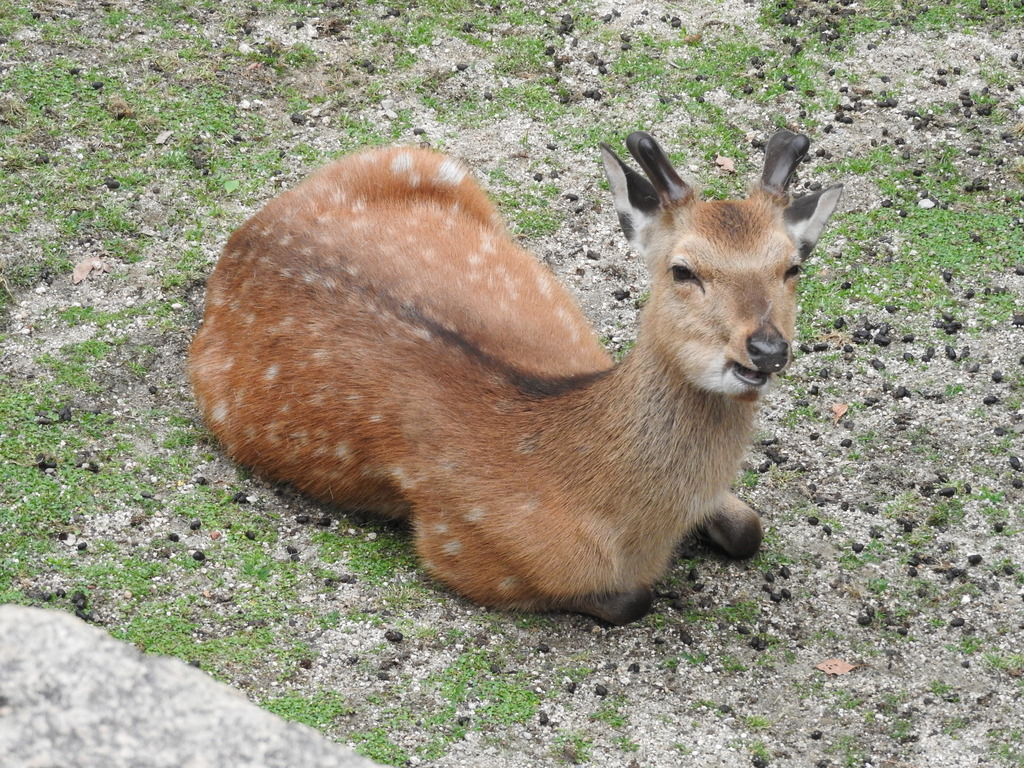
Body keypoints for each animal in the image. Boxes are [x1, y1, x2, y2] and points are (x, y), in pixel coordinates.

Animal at [189, 130, 842, 626]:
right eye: (683, 270)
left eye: (793, 266)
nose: (766, 348)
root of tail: (250, 230)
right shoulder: (461, 547)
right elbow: (631, 600)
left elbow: (750, 527)